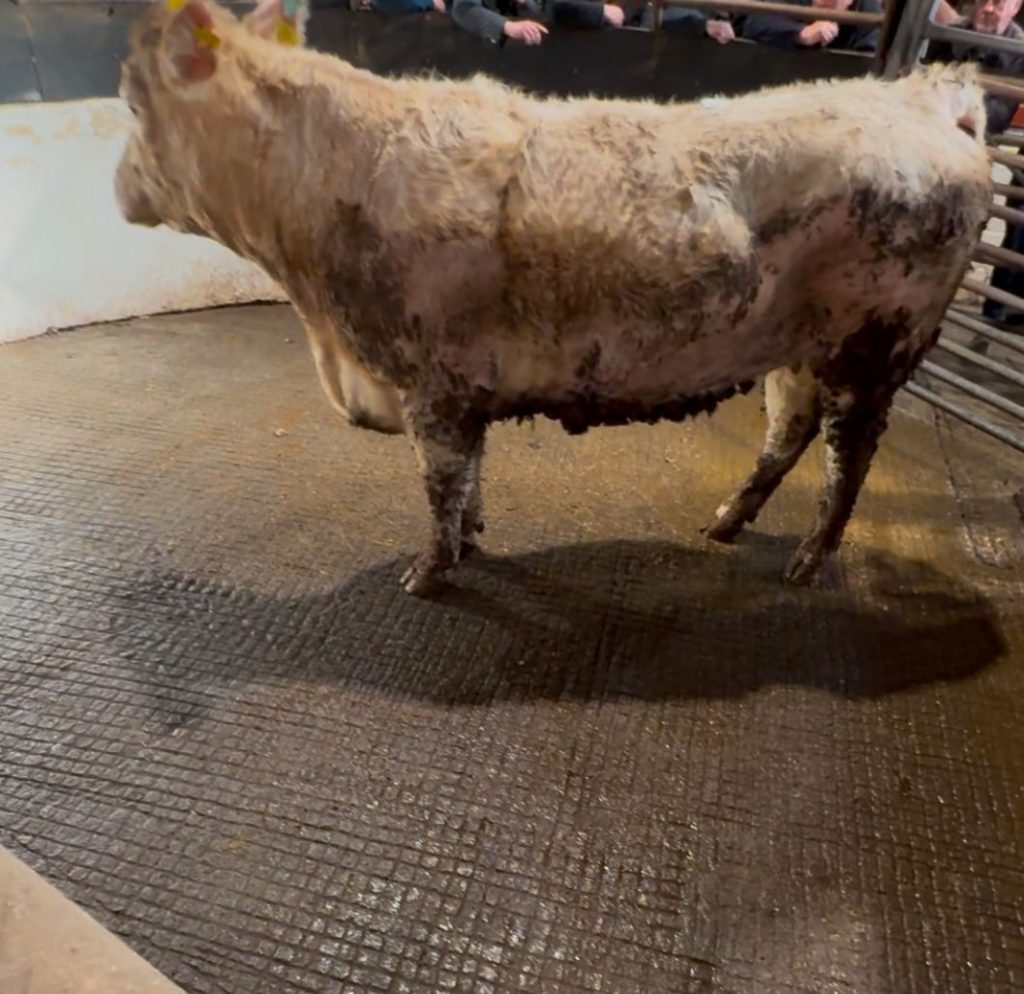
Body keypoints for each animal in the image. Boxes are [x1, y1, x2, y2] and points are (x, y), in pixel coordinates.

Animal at [114, 0, 992, 595]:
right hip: (799, 346)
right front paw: (471, 541)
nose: (116, 188)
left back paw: (808, 561)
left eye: (132, 101)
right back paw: (726, 523)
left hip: (875, 347)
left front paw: (429, 572)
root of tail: (925, 94)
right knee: (789, 434)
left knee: (850, 457)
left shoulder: (432, 383)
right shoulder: (464, 385)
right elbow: (470, 476)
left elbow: (440, 482)